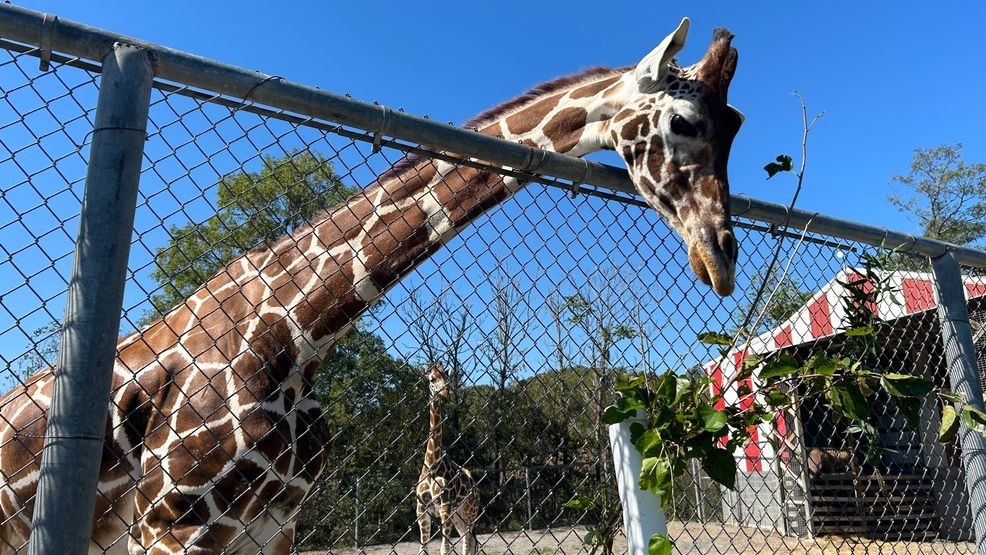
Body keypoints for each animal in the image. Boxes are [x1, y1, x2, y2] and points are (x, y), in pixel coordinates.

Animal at [415, 365, 479, 555]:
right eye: (432, 379)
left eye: (447, 377)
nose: (445, 392)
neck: (432, 465)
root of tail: (476, 487)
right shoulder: (422, 510)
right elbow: (422, 548)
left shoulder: (445, 507)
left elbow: (445, 548)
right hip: (459, 516)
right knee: (469, 540)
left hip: (470, 512)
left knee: (468, 542)